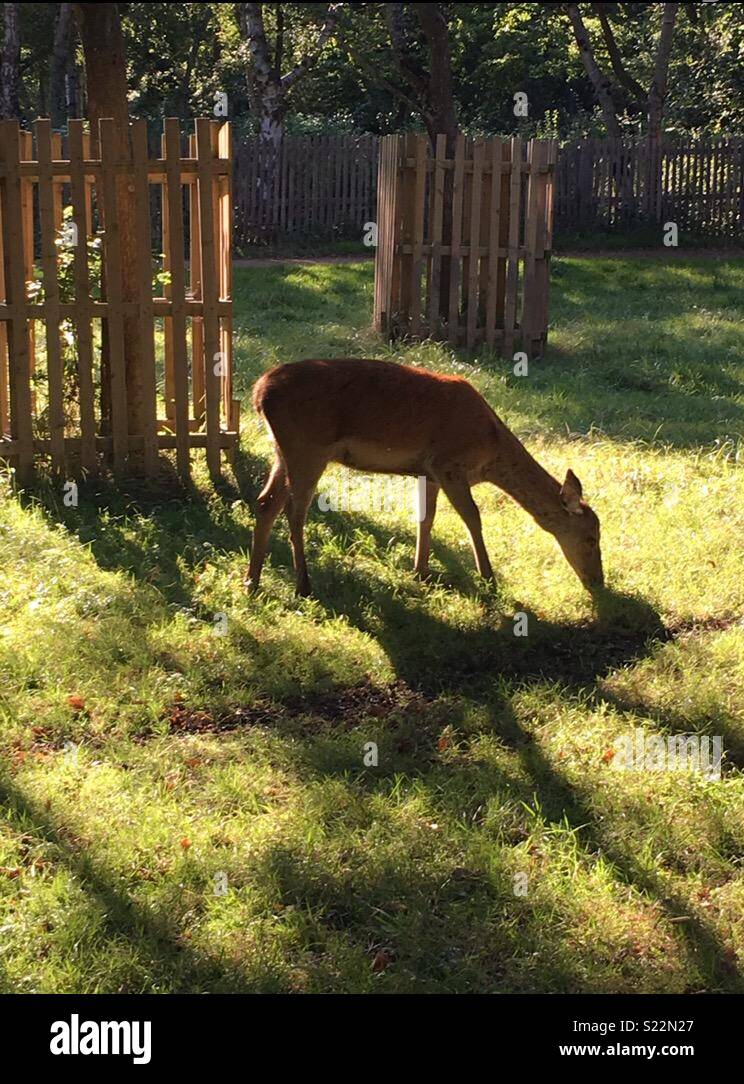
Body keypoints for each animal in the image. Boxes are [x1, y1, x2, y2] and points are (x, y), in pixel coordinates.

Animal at [247, 358, 604, 597]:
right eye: (591, 537)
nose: (598, 582)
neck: (489, 452)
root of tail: (259, 393)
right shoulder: (448, 464)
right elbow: (473, 518)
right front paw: (488, 578)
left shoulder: (427, 472)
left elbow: (426, 517)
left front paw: (421, 571)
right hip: (308, 447)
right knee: (295, 510)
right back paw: (303, 585)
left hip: (284, 450)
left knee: (266, 503)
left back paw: (252, 581)